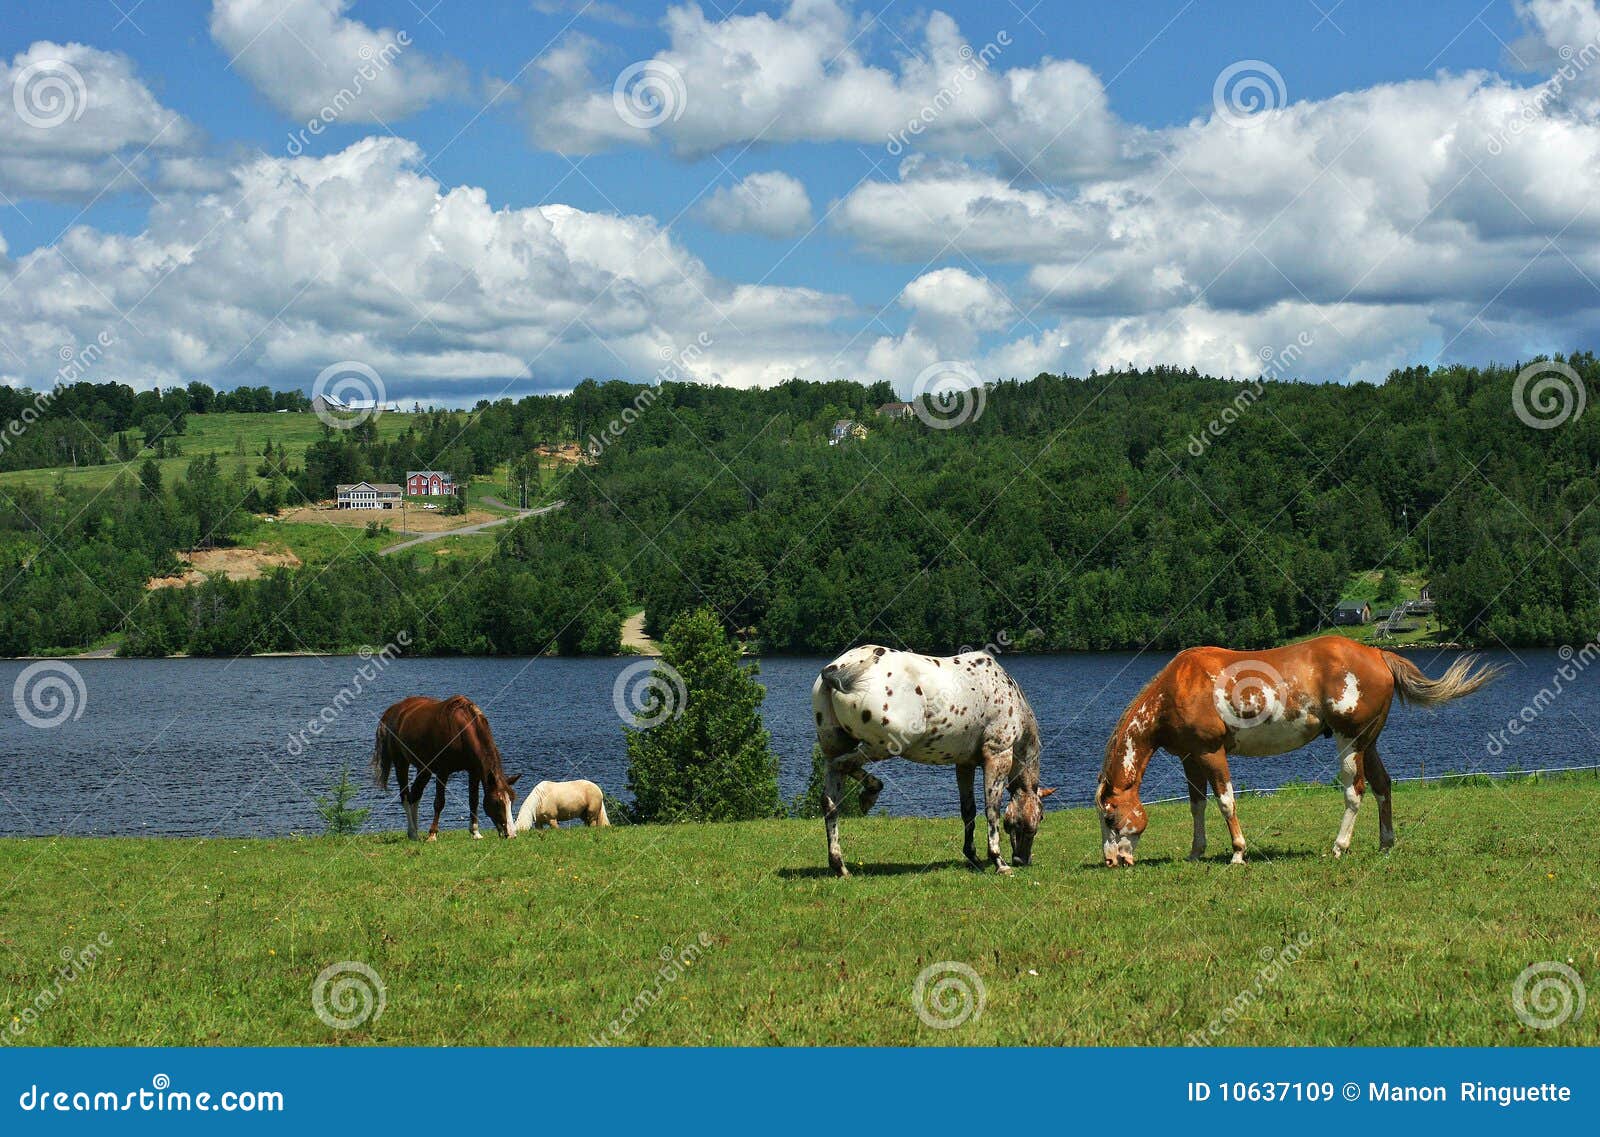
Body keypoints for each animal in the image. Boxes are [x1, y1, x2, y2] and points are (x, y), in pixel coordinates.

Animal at [372, 695, 521, 840]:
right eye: (496, 802)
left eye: (512, 800)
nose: (511, 834)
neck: (461, 730)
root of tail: (394, 710)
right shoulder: (443, 772)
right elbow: (439, 802)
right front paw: (432, 834)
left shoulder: (474, 772)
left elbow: (474, 800)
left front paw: (475, 832)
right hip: (401, 763)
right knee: (405, 797)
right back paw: (413, 832)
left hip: (424, 768)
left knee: (415, 795)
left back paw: (414, 833)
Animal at [812, 645, 1054, 876]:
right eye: (1041, 817)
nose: (1022, 859)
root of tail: (839, 669)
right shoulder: (998, 755)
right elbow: (991, 810)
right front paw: (999, 862)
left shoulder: (964, 764)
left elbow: (968, 810)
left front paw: (973, 857)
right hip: (884, 746)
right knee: (841, 766)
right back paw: (869, 795)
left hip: (838, 745)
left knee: (831, 796)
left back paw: (840, 865)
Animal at [1096, 636, 1502, 866]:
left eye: (1110, 818)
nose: (1113, 861)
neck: (1180, 685)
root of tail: (1376, 653)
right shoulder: (1190, 756)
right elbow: (1197, 805)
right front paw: (1196, 853)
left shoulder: (1212, 752)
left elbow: (1225, 802)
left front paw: (1238, 853)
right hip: (1368, 742)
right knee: (1382, 786)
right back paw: (1386, 845)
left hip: (1349, 741)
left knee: (1355, 791)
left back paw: (1339, 847)